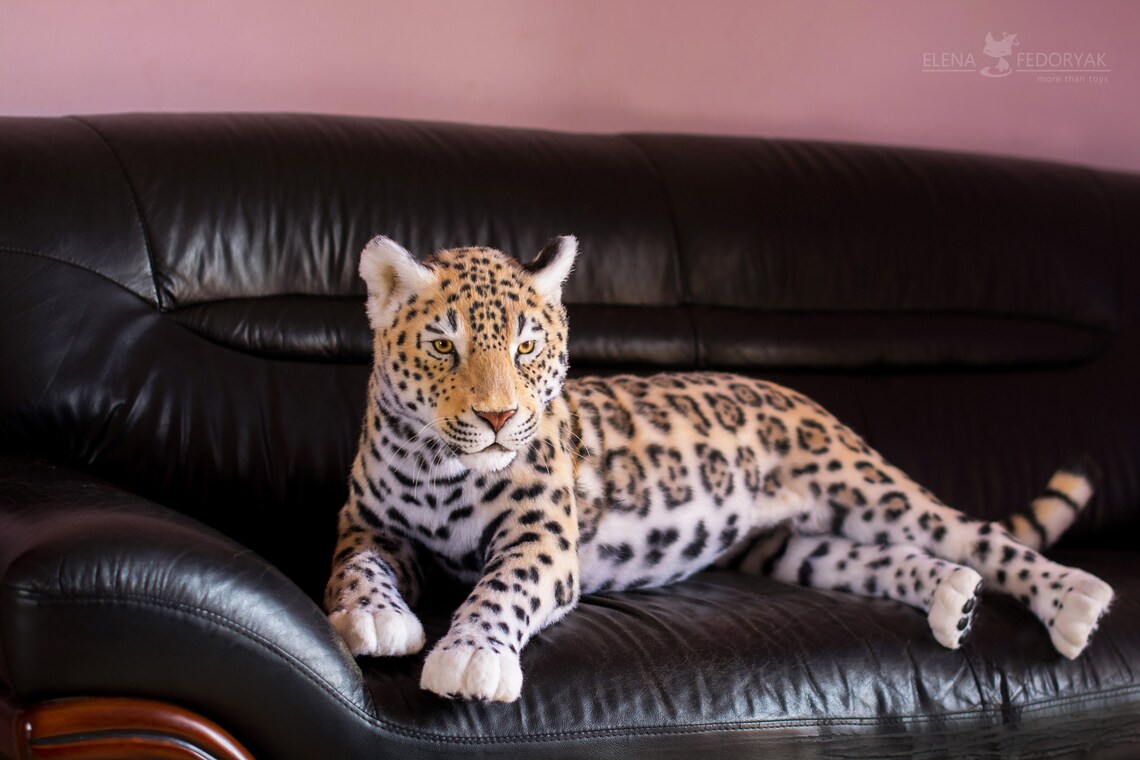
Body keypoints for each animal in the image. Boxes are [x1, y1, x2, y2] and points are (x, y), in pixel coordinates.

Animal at [325, 235, 1115, 703]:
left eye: (526, 349)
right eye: (442, 346)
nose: (497, 418)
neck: (440, 468)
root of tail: (786, 389)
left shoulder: (540, 541)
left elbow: (502, 590)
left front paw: (470, 657)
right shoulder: (367, 525)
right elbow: (356, 568)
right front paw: (372, 617)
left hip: (863, 483)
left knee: (979, 535)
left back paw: (1074, 600)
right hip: (794, 549)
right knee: (886, 558)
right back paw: (953, 597)